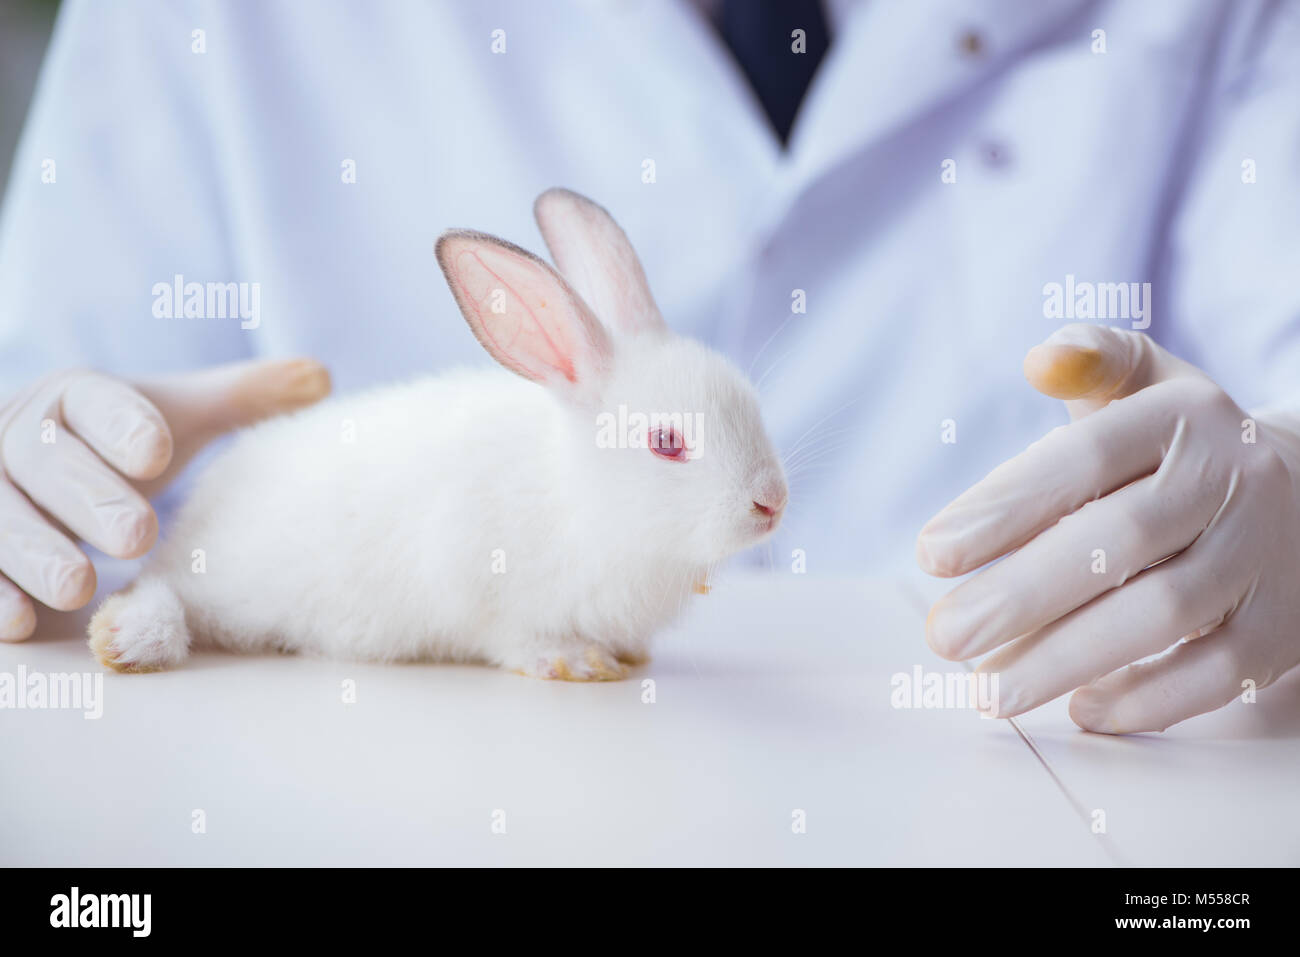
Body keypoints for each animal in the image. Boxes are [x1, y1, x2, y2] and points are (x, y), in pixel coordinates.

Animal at [87, 188, 788, 680]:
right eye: (668, 444)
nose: (773, 504)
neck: (584, 500)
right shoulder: (485, 588)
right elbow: (518, 638)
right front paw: (579, 663)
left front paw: (629, 655)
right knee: (162, 589)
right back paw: (124, 639)